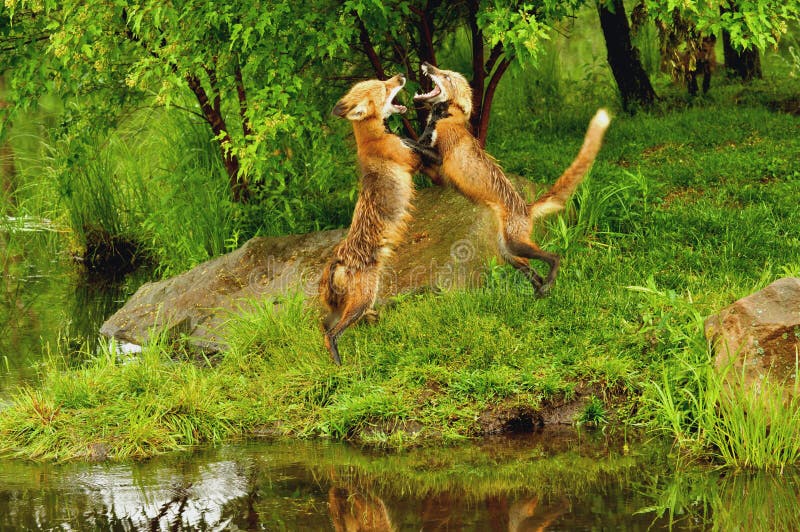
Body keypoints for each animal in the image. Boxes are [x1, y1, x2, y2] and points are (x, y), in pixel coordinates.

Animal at [320, 74, 421, 365]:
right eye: (385, 87)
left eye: (382, 80)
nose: (400, 76)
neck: (371, 141)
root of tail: (339, 260)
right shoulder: (411, 160)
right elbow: (422, 143)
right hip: (363, 299)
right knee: (331, 334)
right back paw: (340, 365)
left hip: (342, 306)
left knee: (324, 324)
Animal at [404, 62, 610, 296]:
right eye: (442, 71)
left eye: (446, 76)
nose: (426, 64)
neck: (442, 119)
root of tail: (527, 208)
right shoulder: (436, 172)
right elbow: (419, 153)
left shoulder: (442, 158)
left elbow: (414, 144)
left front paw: (397, 136)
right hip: (509, 254)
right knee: (532, 273)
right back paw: (540, 293)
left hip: (514, 246)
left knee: (554, 257)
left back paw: (548, 283)